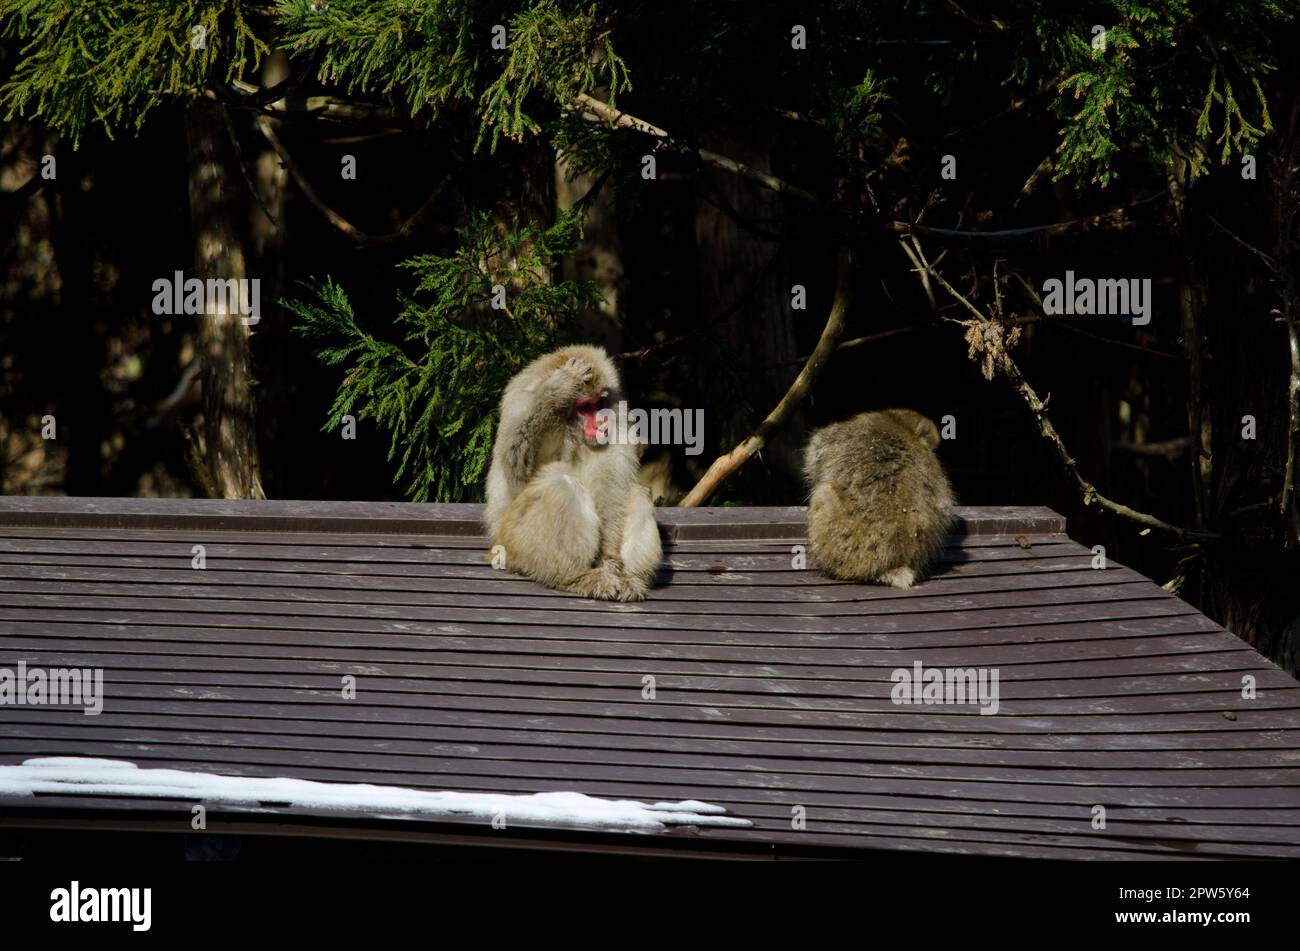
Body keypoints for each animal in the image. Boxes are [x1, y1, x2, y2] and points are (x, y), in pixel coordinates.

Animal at [484, 344, 662, 601]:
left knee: (636, 493)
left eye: (599, 404)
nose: (601, 424)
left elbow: (610, 490)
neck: (569, 426)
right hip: (514, 544)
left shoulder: (617, 417)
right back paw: (573, 578)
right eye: (585, 407)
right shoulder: (520, 401)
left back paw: (630, 578)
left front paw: (610, 562)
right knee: (561, 483)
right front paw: (558, 389)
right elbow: (517, 476)